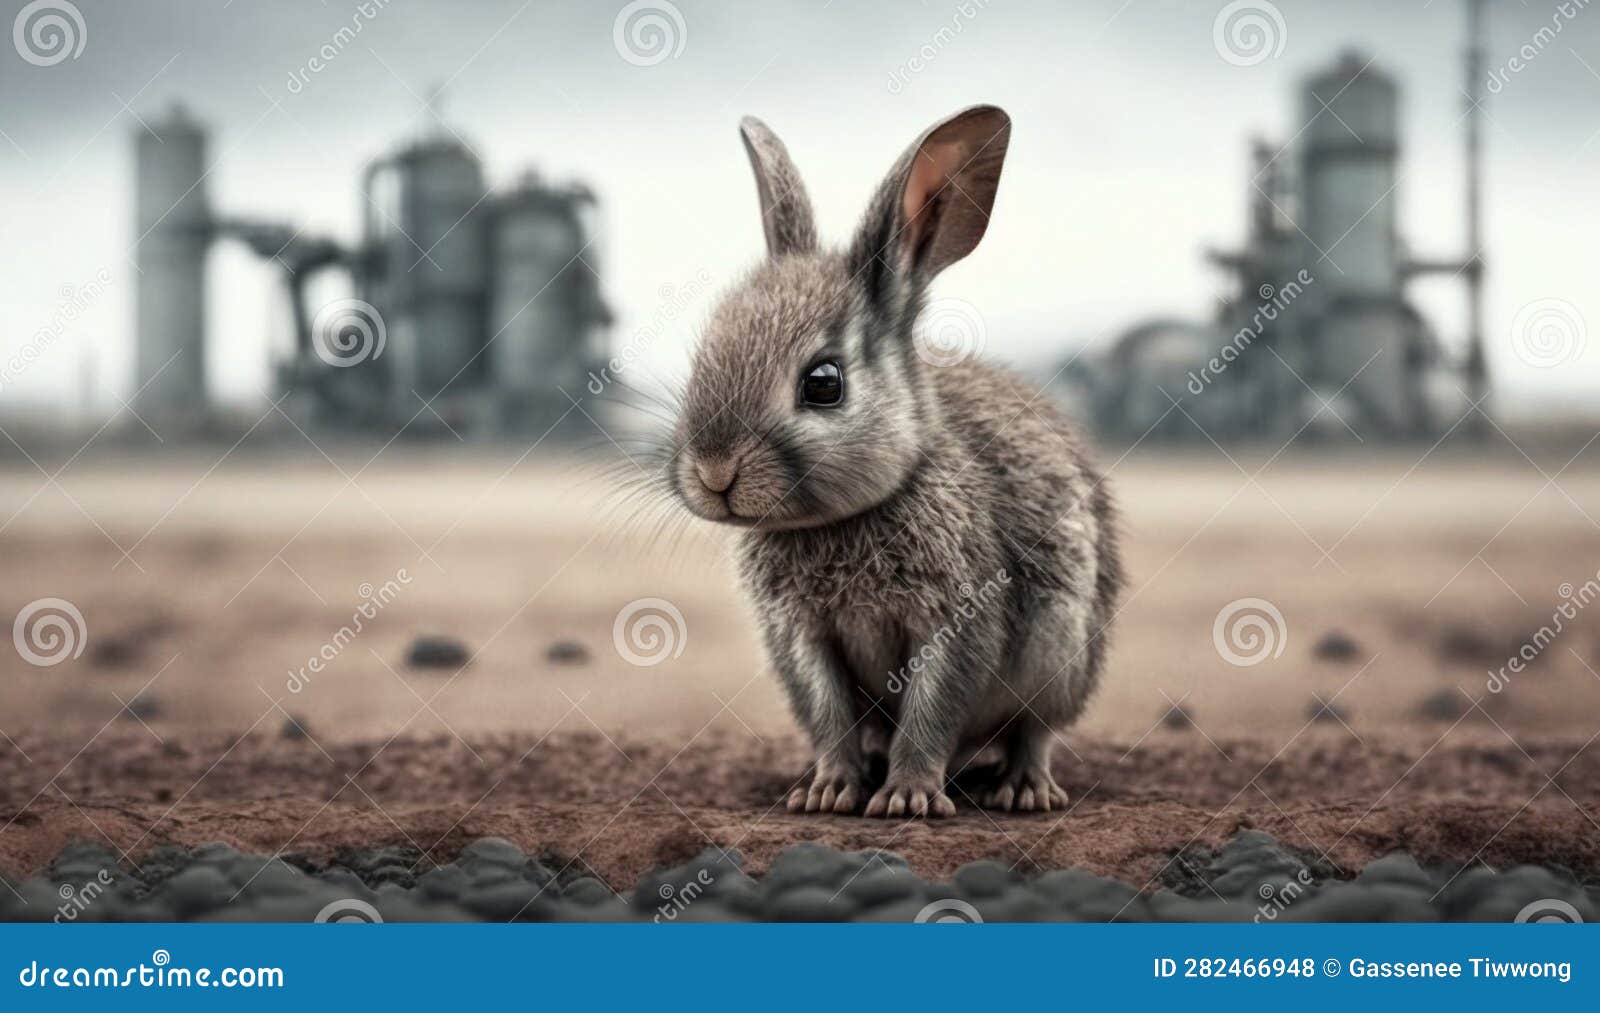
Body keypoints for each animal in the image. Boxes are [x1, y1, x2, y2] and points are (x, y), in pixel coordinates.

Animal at [663, 105, 1122, 818]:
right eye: (702, 359)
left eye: (824, 384)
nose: (714, 474)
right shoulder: (804, 638)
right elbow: (829, 716)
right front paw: (828, 791)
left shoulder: (955, 622)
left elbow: (932, 713)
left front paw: (907, 797)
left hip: (1063, 655)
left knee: (1035, 729)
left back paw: (1023, 788)